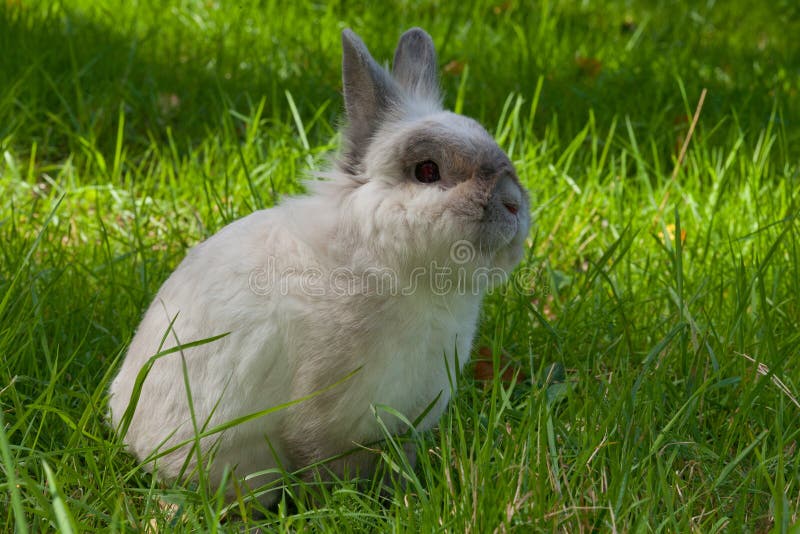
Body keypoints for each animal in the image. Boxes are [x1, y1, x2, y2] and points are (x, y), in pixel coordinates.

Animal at [108, 27, 530, 506]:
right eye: (427, 171)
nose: (513, 204)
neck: (387, 262)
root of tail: (127, 430)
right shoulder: (326, 413)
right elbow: (321, 464)